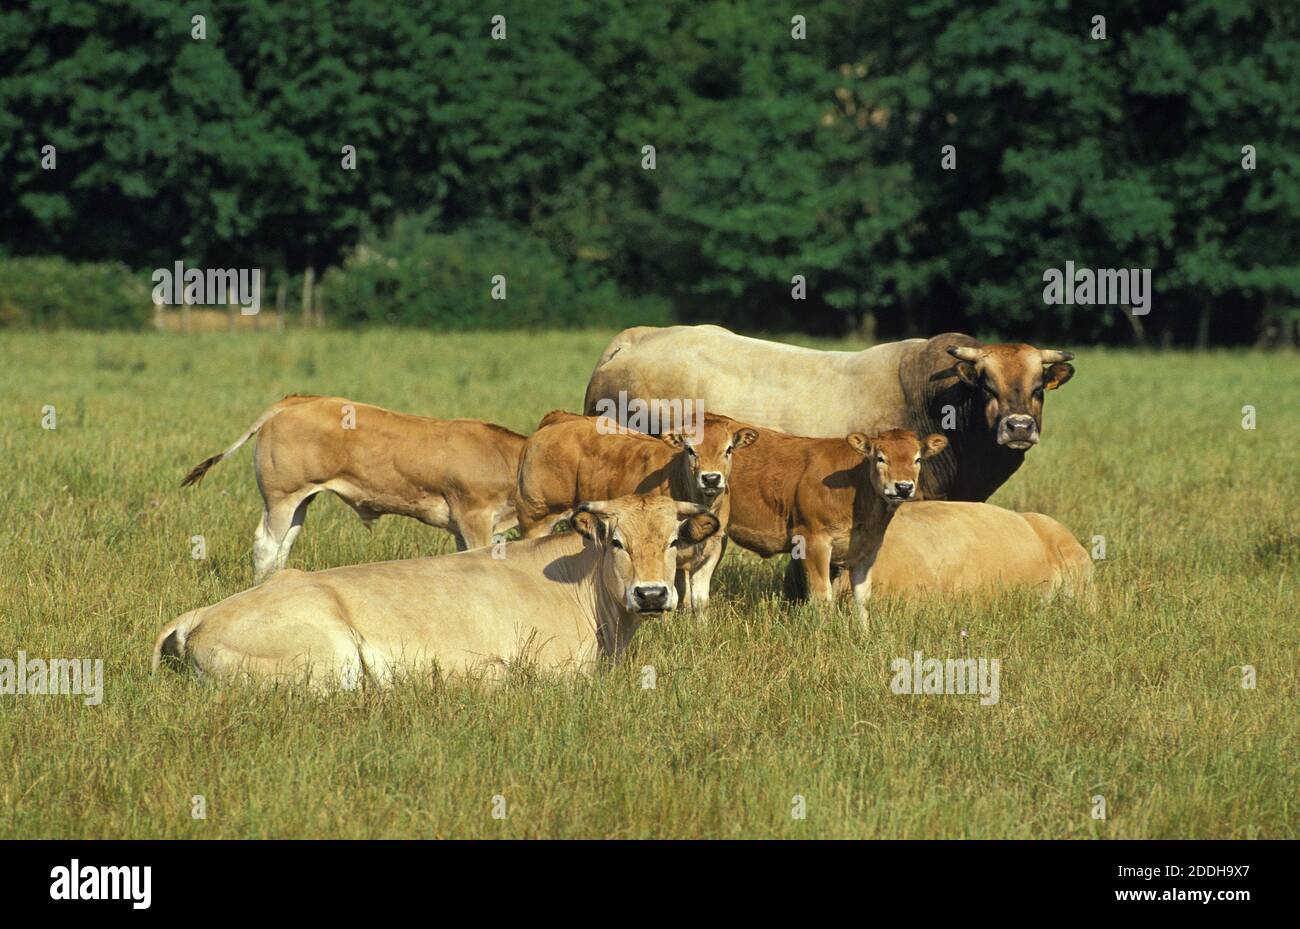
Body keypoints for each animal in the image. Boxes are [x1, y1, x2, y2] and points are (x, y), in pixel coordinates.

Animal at [181, 395, 525, 583]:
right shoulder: (474, 516)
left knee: (283, 545)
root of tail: (299, 399)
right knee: (266, 546)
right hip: (281, 497)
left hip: (301, 500)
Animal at [514, 411, 757, 608]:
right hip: (536, 520)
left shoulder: (713, 548)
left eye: (729, 449)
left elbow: (698, 600)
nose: (711, 478)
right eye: (690, 450)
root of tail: (560, 419)